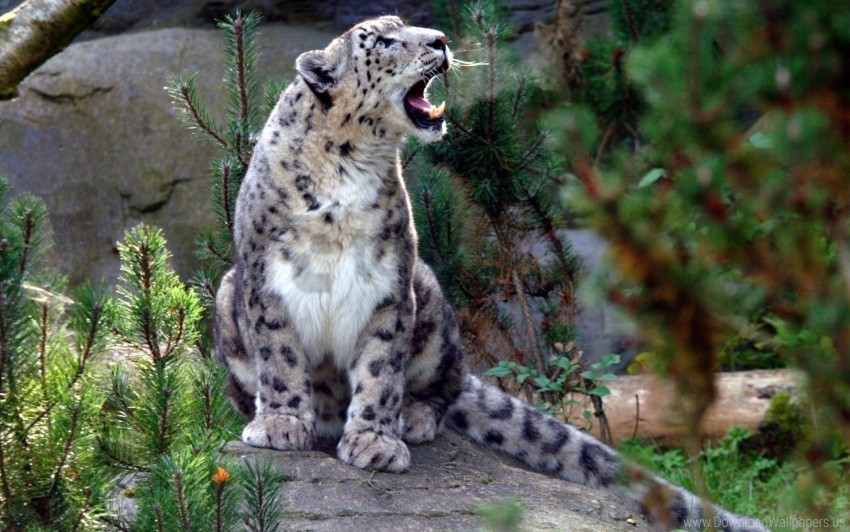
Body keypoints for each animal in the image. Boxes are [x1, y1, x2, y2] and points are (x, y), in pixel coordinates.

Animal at [214, 15, 766, 531]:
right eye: (384, 41)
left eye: (405, 27)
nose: (439, 39)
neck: (350, 170)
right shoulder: (265, 281)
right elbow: (281, 356)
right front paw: (282, 424)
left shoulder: (390, 286)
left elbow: (381, 368)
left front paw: (374, 439)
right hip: (226, 297)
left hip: (430, 299)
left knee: (450, 381)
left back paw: (413, 416)